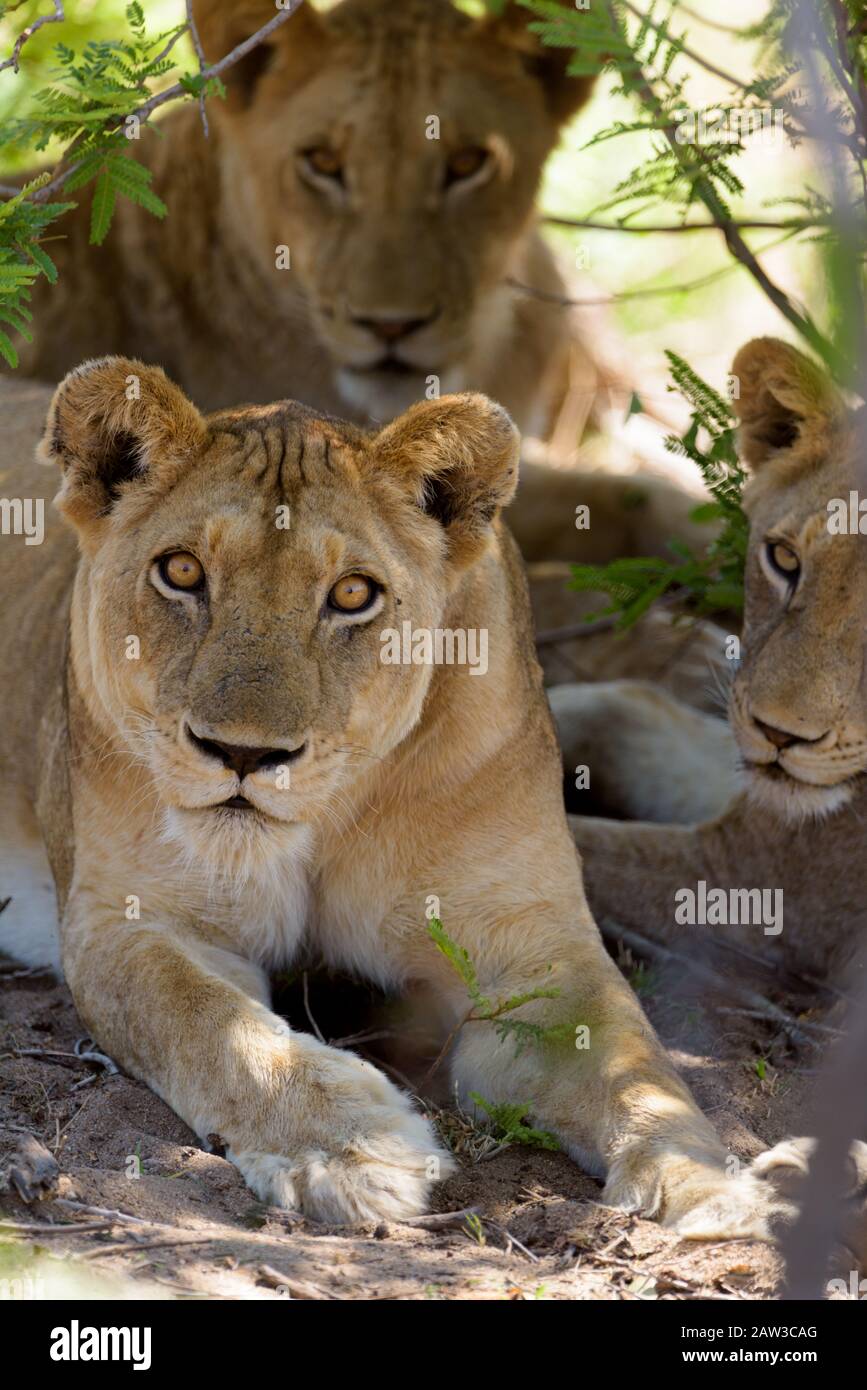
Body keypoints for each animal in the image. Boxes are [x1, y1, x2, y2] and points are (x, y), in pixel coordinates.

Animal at [0, 360, 793, 1234]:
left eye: (352, 595)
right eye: (181, 573)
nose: (244, 753)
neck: (318, 828)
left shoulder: (530, 950)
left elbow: (633, 1067)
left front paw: (710, 1187)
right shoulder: (125, 922)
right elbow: (211, 1024)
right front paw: (353, 1149)